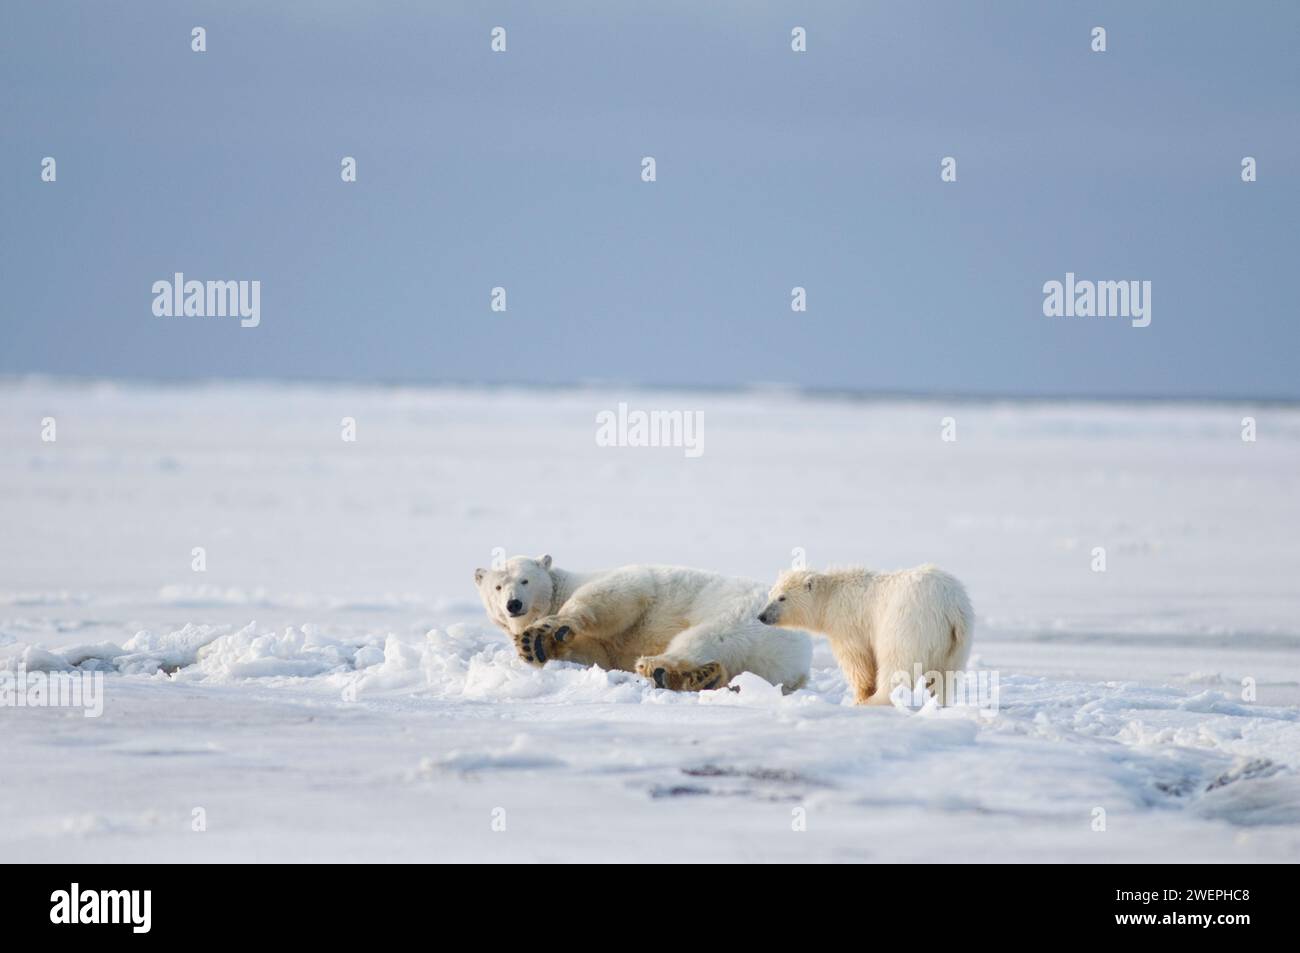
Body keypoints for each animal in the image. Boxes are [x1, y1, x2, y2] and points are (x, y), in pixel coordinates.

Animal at [475, 554, 812, 692]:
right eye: (498, 586)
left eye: (525, 580)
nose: (514, 604)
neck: (560, 589)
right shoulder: (600, 649)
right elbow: (593, 655)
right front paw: (539, 647)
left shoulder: (626, 580)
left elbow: (618, 595)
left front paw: (540, 635)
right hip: (766, 661)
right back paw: (703, 676)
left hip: (739, 612)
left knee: (708, 636)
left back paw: (659, 667)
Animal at [758, 564, 973, 706]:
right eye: (771, 594)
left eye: (782, 598)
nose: (761, 616)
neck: (830, 598)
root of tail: (950, 605)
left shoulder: (849, 625)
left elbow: (858, 662)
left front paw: (860, 698)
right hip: (956, 641)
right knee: (945, 675)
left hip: (909, 625)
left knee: (896, 662)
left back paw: (878, 700)